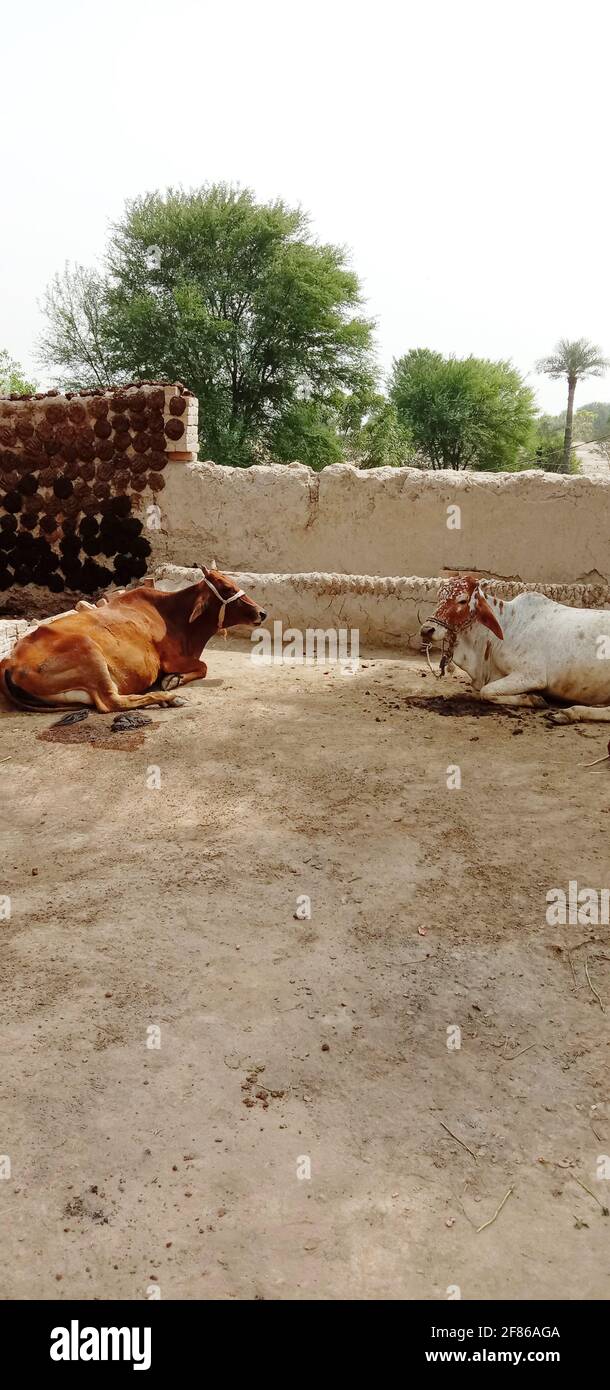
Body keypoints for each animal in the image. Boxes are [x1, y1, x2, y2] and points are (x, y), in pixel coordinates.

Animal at [0, 567, 266, 713]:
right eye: (227, 588)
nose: (262, 613)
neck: (174, 615)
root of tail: (10, 661)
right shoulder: (170, 659)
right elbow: (203, 666)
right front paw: (173, 681)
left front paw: (175, 680)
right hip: (89, 651)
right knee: (112, 702)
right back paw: (170, 698)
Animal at [419, 574, 610, 723]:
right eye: (439, 597)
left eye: (462, 600)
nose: (427, 630)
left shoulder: (533, 675)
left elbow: (485, 691)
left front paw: (534, 699)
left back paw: (569, 713)